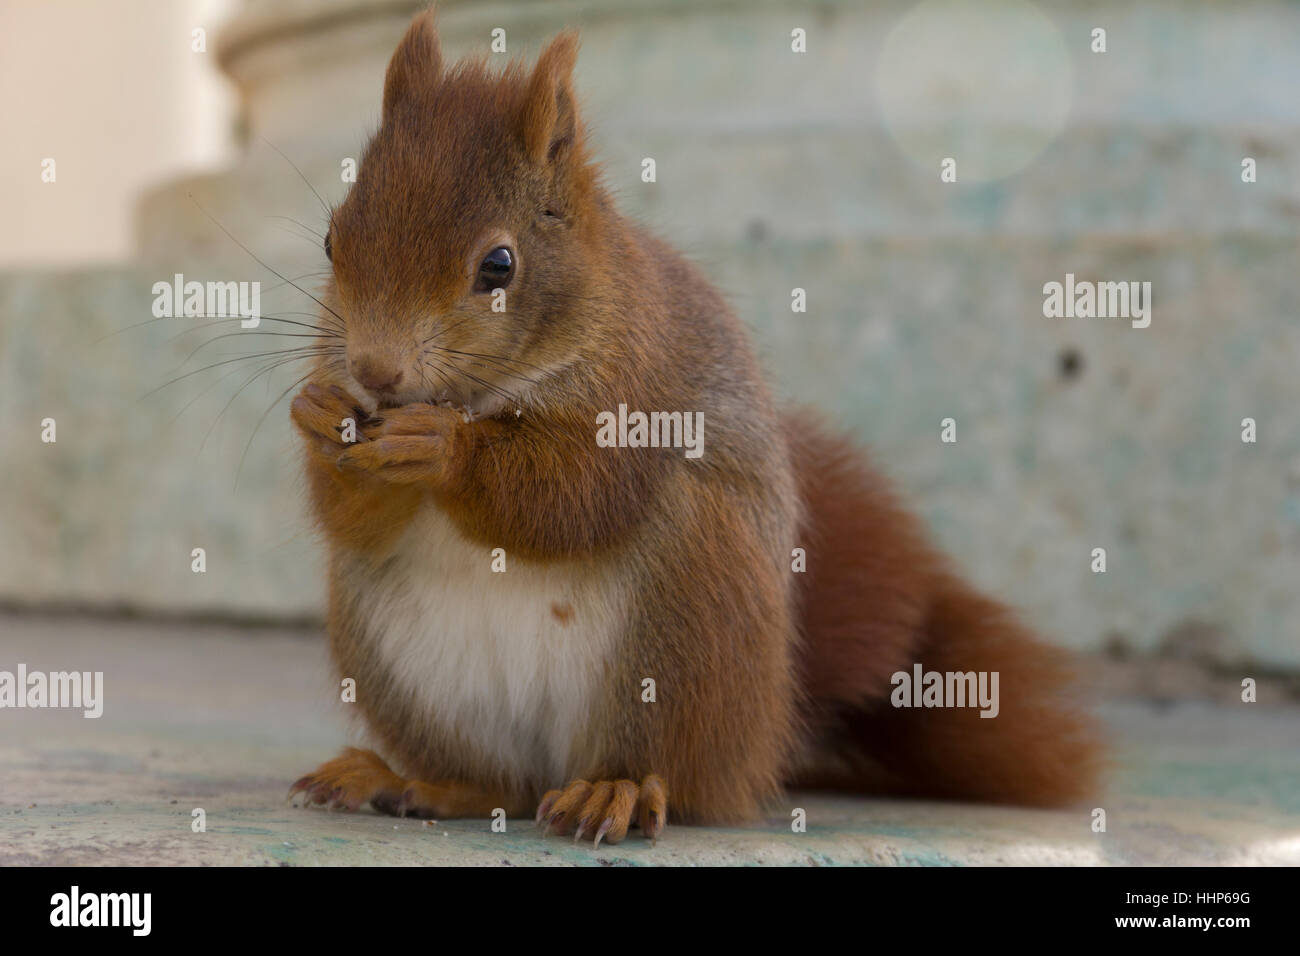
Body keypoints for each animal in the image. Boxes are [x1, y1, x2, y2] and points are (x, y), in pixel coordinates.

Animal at [286, 9, 1100, 846]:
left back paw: (613, 791)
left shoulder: (642, 389)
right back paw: (412, 779)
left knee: (671, 773)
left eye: (499, 266)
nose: (375, 371)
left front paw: (441, 449)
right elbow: (352, 517)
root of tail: (767, 737)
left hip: (691, 615)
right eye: (332, 239)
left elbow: (574, 496)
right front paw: (320, 416)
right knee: (497, 784)